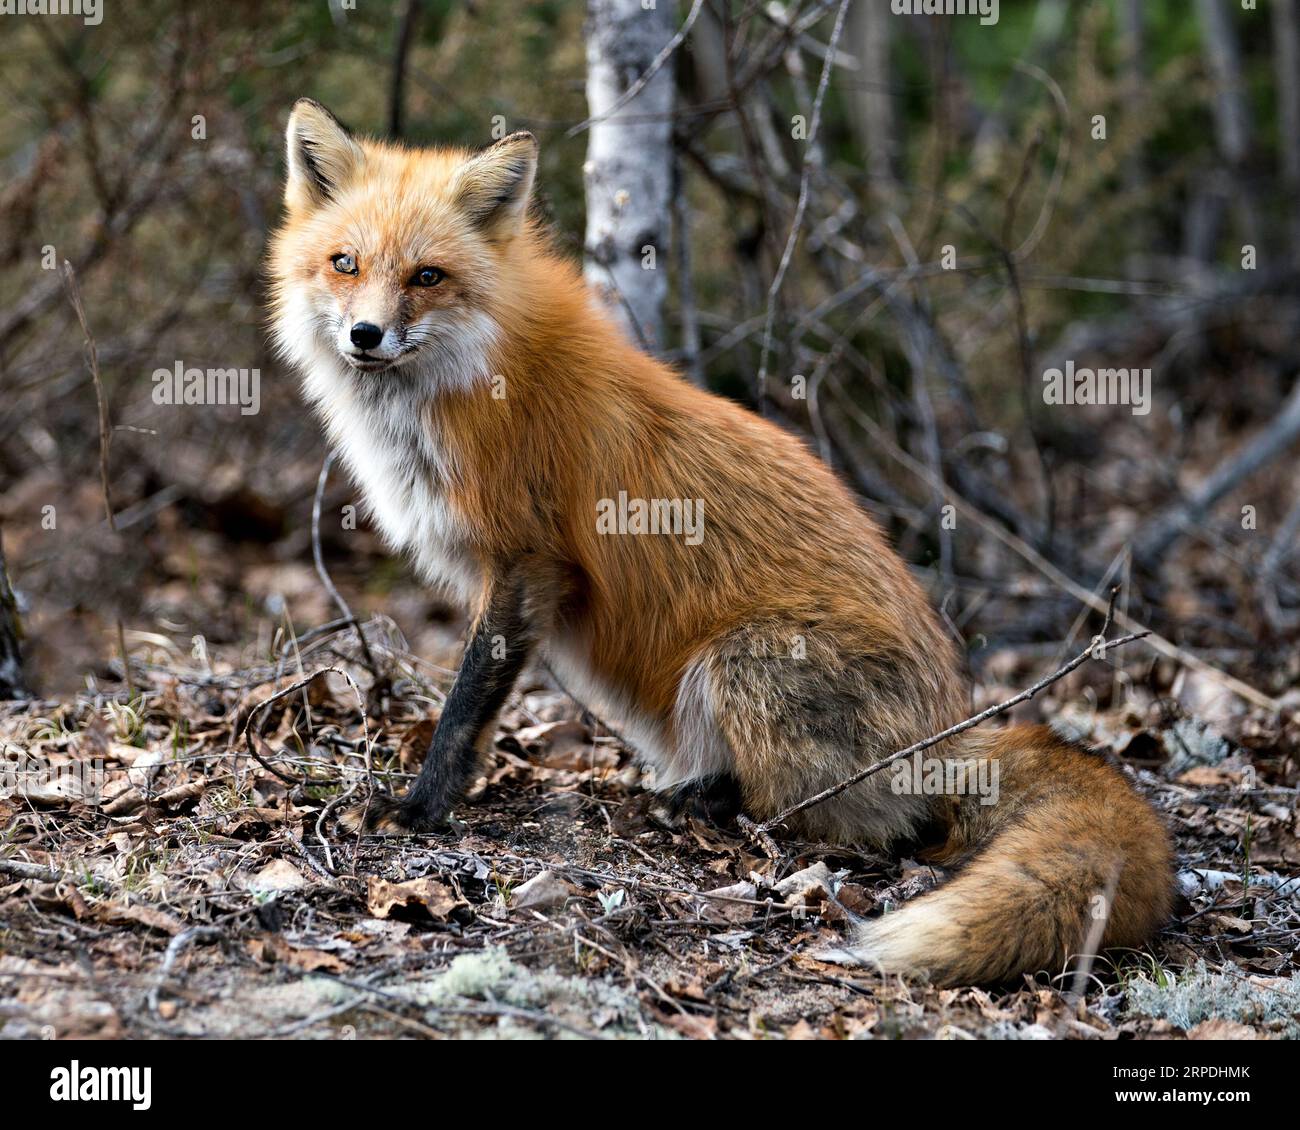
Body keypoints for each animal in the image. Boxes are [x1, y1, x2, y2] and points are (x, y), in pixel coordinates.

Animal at [267, 99, 1174, 986]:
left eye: (427, 276)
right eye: (345, 264)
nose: (366, 336)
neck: (472, 376)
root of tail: (951, 731)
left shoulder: (527, 560)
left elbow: (464, 707)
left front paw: (421, 807)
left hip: (743, 662)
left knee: (853, 822)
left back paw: (705, 805)